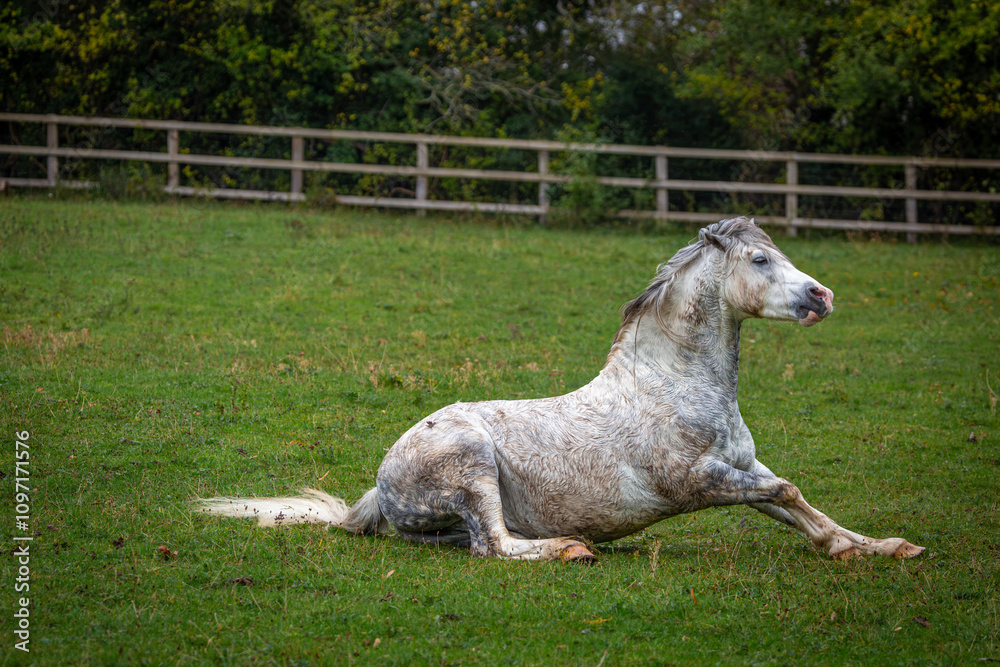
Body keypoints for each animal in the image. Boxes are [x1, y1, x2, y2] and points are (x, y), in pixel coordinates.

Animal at [197, 216, 924, 562]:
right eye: (760, 259)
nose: (822, 296)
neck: (673, 387)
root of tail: (379, 483)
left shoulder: (743, 467)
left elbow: (798, 502)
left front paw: (880, 547)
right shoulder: (700, 482)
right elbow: (790, 493)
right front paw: (853, 548)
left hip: (445, 521)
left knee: (479, 542)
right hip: (473, 468)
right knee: (496, 547)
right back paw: (575, 548)